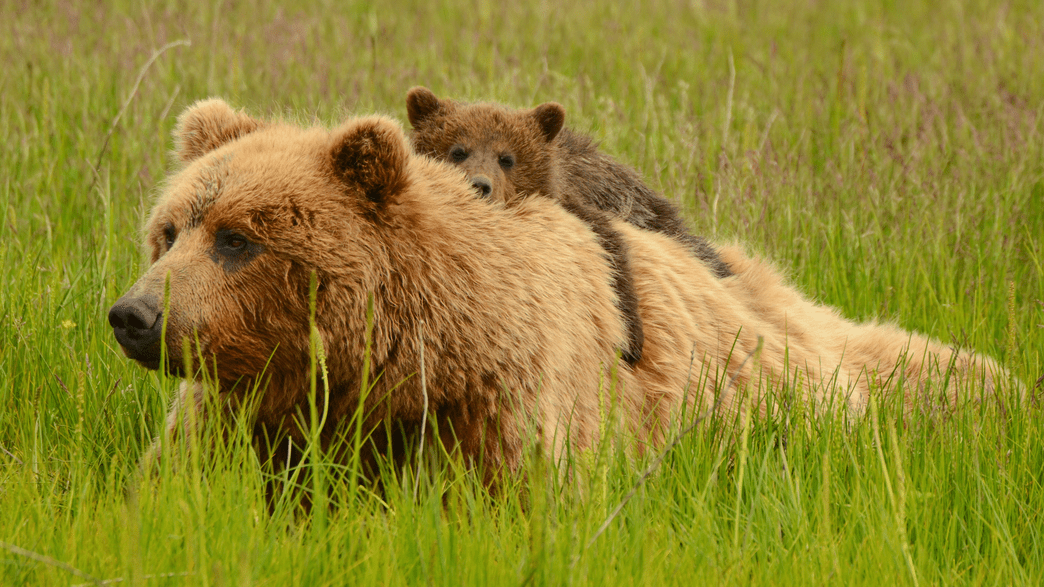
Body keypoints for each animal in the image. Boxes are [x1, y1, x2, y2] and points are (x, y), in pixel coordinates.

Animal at [405, 87, 733, 367]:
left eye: (506, 158)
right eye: (458, 150)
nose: (479, 184)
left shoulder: (578, 204)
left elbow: (609, 248)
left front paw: (631, 340)